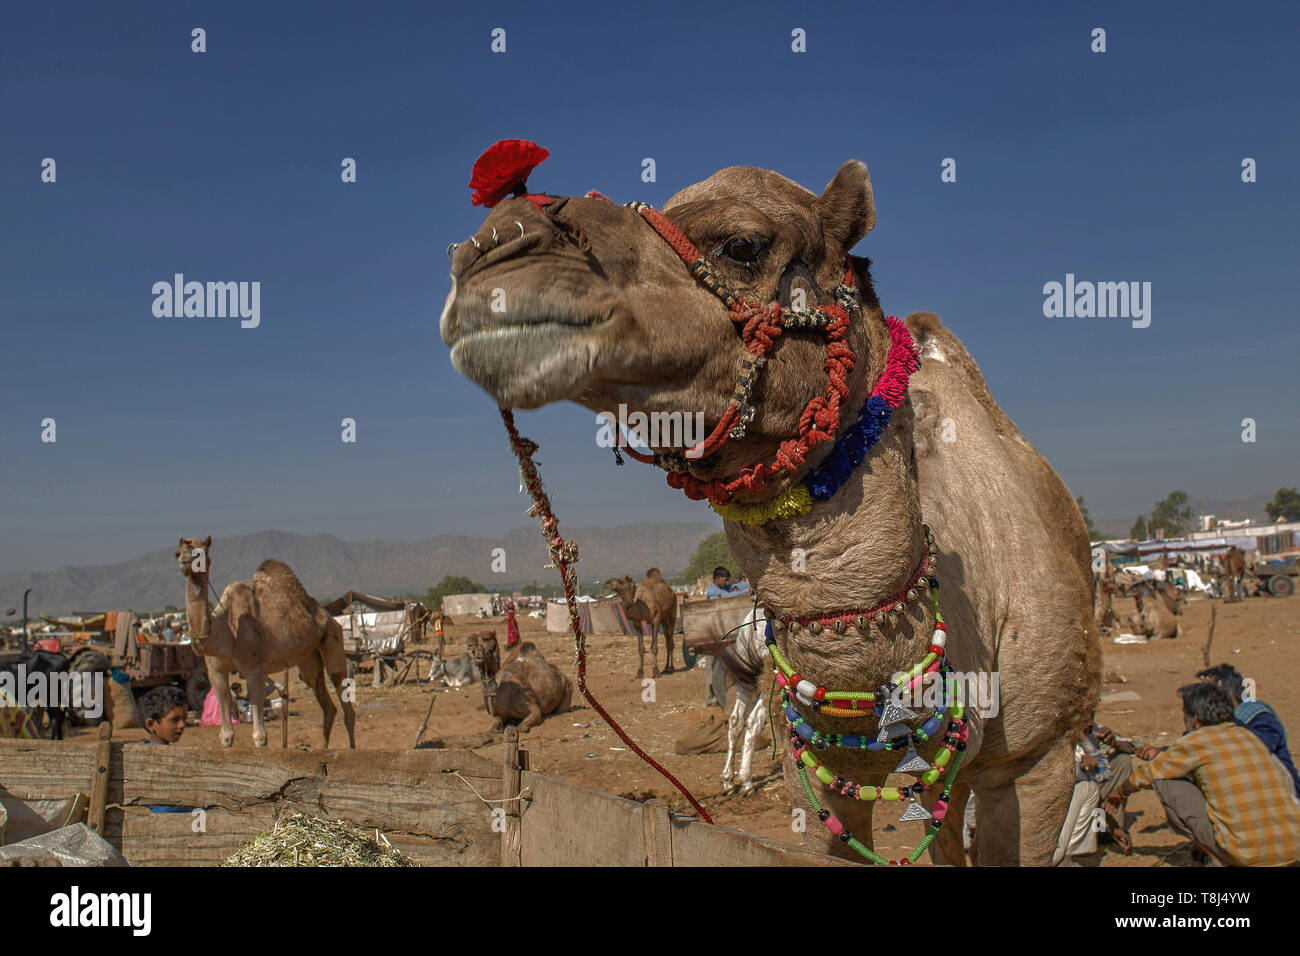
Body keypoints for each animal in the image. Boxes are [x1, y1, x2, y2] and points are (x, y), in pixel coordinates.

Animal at [176, 536, 356, 749]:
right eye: (177, 552)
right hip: (309, 658)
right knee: (325, 702)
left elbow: (259, 736)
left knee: (342, 692)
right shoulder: (215, 672)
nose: (185, 561)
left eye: (201, 552)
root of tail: (326, 614)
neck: (224, 632)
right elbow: (226, 736)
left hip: (332, 635)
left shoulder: (254, 671)